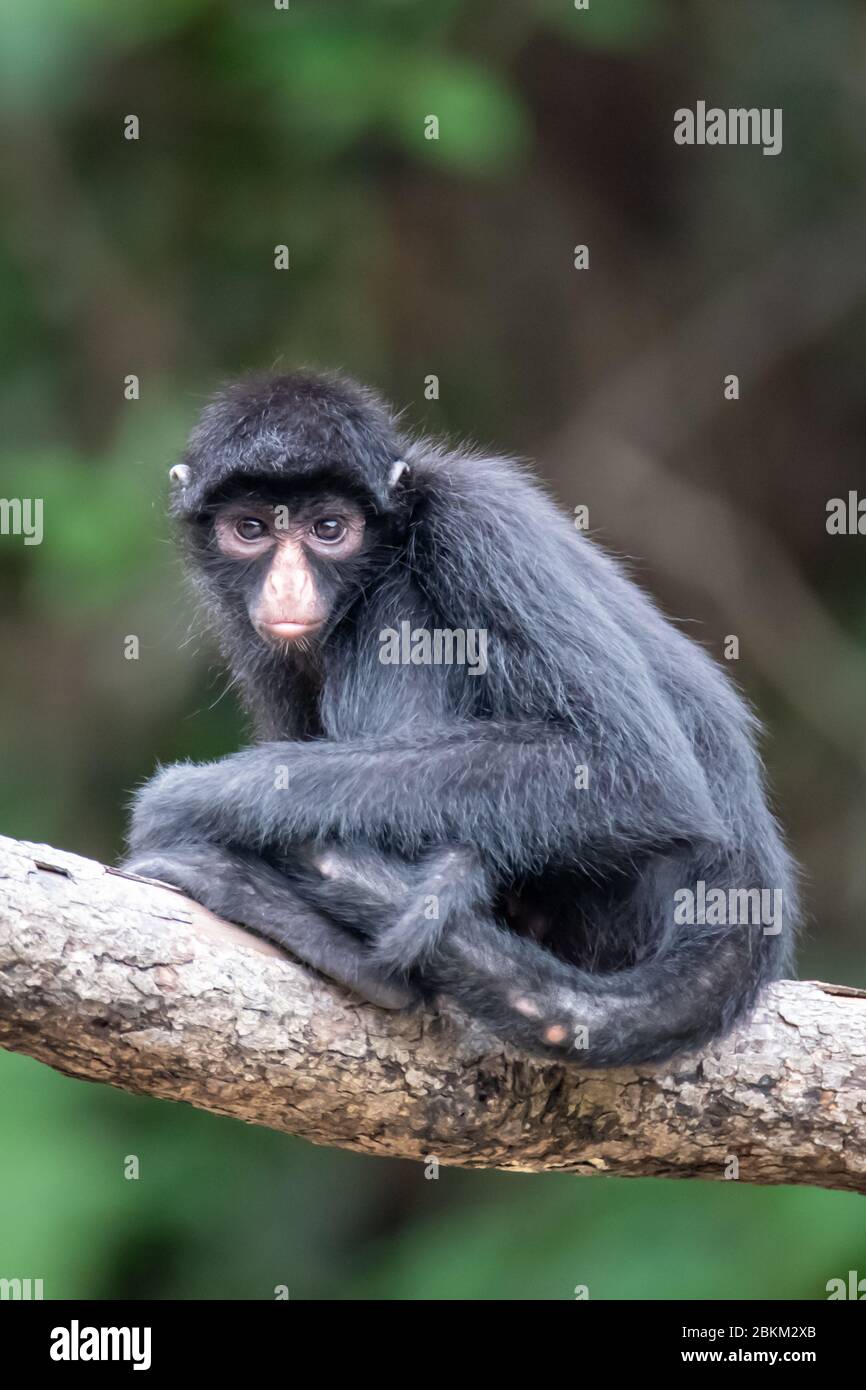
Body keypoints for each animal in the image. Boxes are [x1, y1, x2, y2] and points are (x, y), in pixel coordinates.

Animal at [123, 371, 799, 1065]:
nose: (287, 587)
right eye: (252, 529)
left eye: (329, 528)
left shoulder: (478, 517)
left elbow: (641, 775)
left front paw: (193, 800)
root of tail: (749, 868)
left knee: (396, 599)